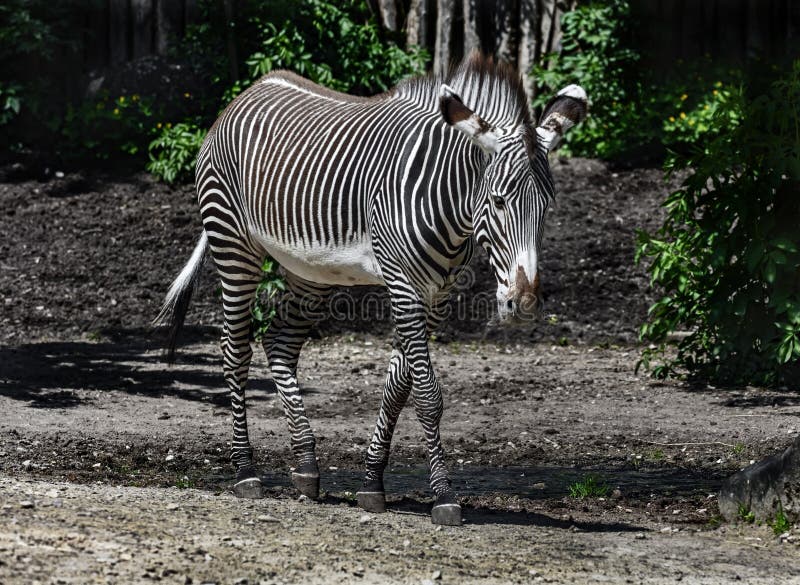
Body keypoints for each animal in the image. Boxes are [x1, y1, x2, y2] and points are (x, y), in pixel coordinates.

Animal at [156, 52, 587, 525]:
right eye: (498, 201)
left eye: (547, 206)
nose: (523, 304)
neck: (448, 203)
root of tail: (249, 91)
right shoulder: (403, 283)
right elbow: (428, 395)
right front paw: (443, 496)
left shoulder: (436, 295)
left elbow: (397, 386)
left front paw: (371, 484)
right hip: (234, 243)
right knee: (235, 350)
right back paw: (245, 471)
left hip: (311, 270)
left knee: (280, 344)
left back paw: (306, 467)